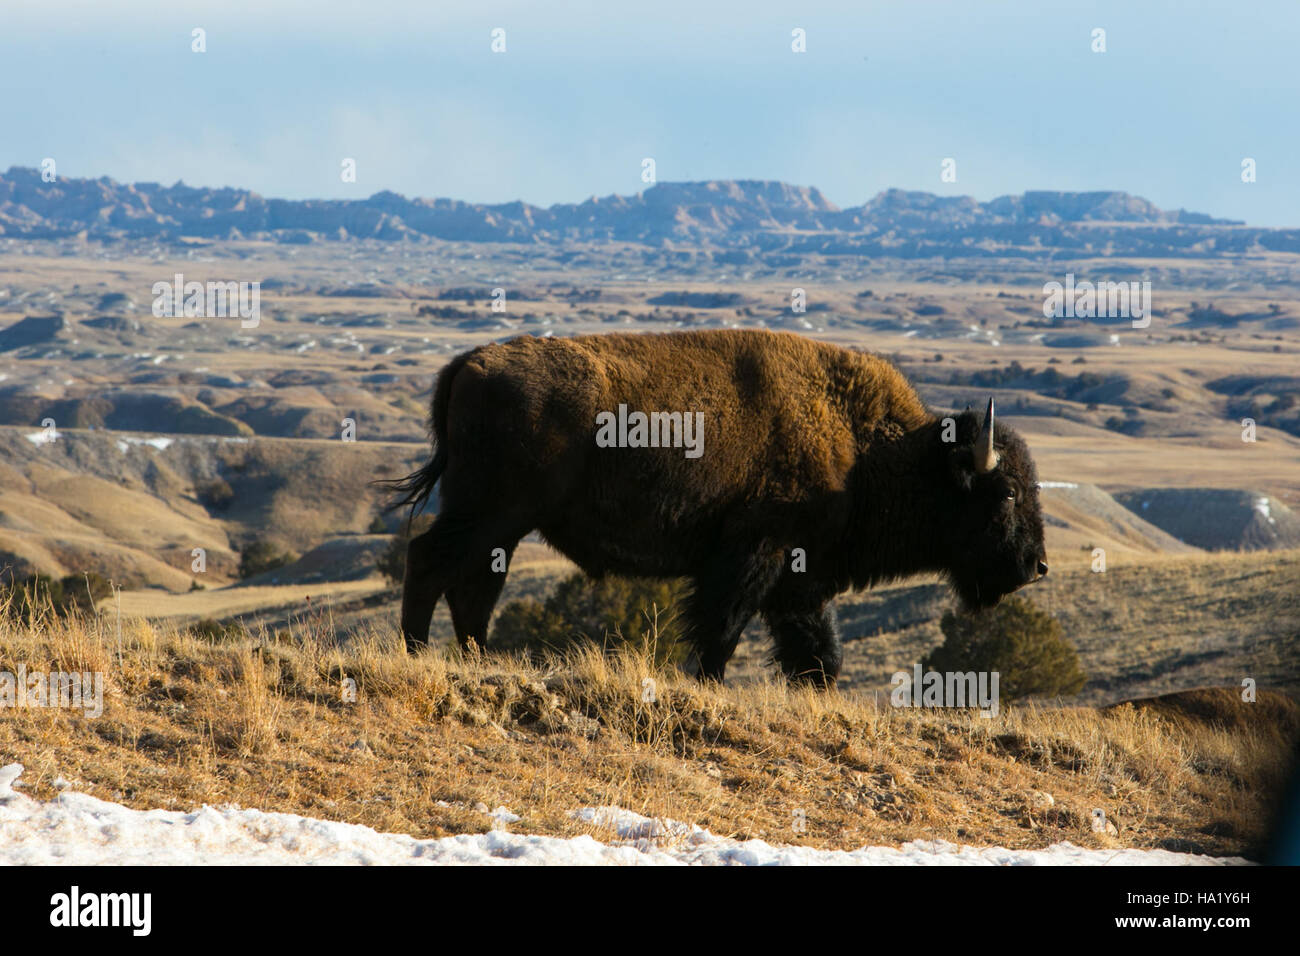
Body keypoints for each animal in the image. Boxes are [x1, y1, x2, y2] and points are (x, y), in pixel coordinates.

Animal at [388, 329, 1047, 687]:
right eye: (1008, 492)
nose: (1036, 565)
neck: (867, 447)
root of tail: (470, 363)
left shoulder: (799, 579)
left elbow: (818, 653)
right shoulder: (755, 553)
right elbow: (722, 628)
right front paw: (708, 682)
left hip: (503, 526)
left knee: (472, 585)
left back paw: (474, 659)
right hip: (491, 513)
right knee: (430, 562)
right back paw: (417, 653)